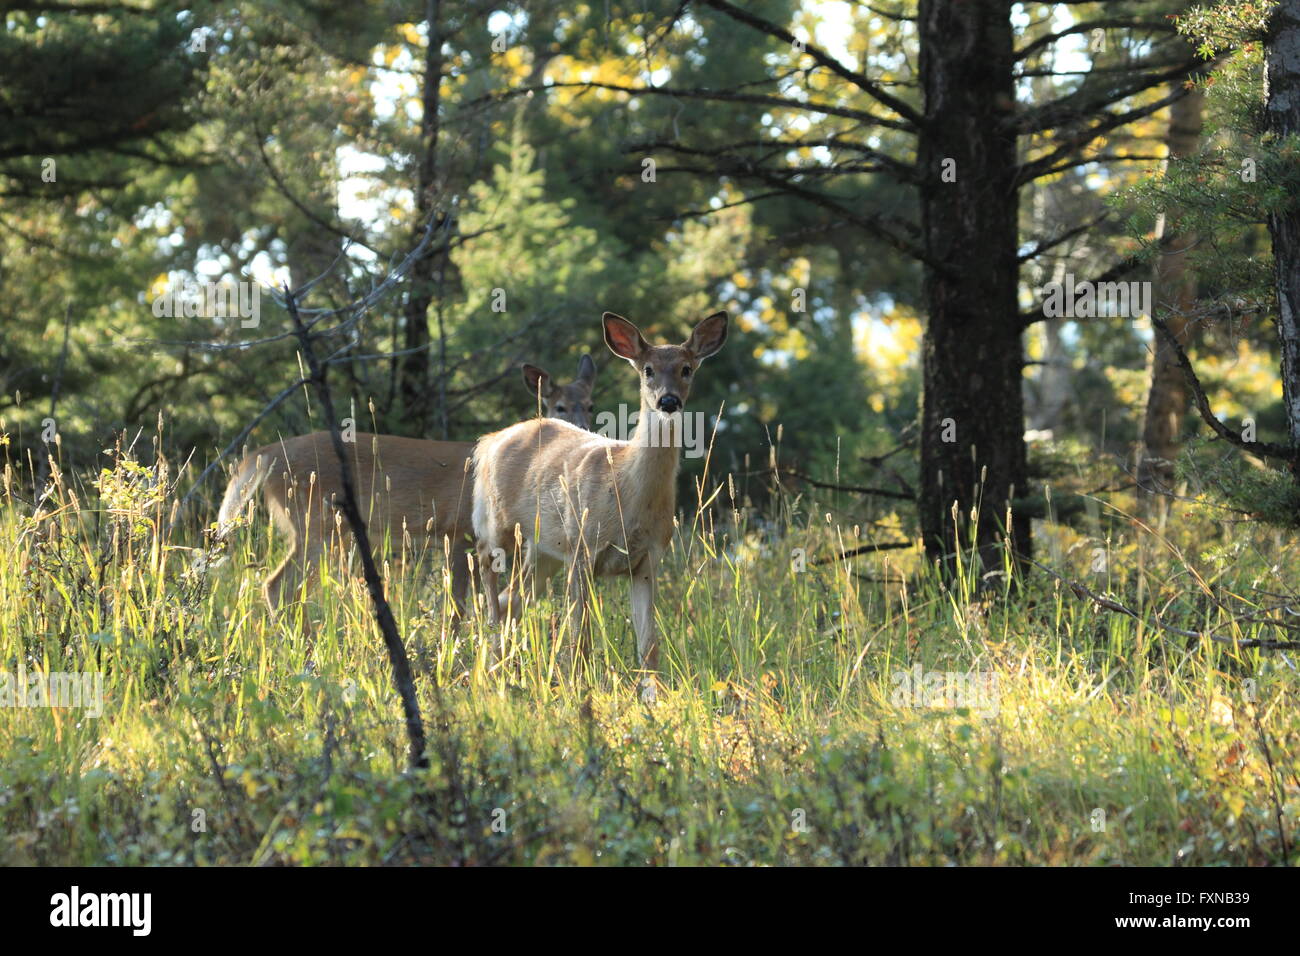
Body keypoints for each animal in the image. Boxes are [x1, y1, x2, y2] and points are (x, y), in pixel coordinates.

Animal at [216, 355, 597, 622]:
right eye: (559, 406)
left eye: (590, 405)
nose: (582, 429)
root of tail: (267, 453)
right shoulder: (459, 531)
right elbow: (459, 606)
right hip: (317, 525)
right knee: (277, 586)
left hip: (322, 530)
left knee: (286, 589)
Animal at [472, 311, 727, 702]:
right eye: (648, 369)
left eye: (687, 368)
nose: (668, 401)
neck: (626, 491)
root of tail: (489, 441)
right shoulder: (583, 549)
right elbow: (581, 638)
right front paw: (581, 692)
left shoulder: (647, 559)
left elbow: (649, 644)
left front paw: (652, 697)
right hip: (495, 523)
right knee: (488, 584)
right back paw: (492, 666)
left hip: (543, 551)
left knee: (510, 598)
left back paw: (499, 670)